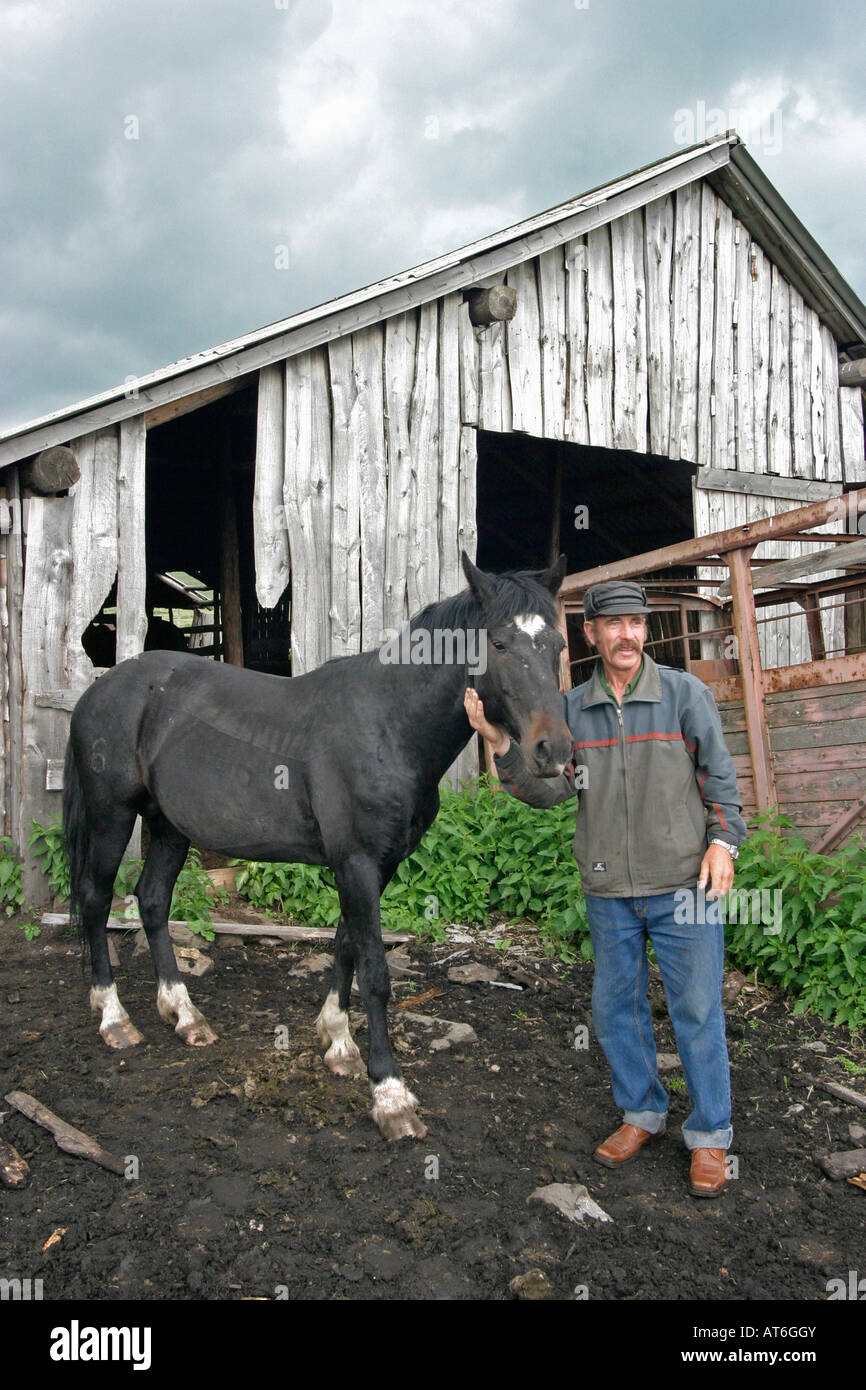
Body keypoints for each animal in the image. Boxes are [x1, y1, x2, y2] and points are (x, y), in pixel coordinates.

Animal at [63, 552, 573, 1140]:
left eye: (557, 644)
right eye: (500, 644)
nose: (553, 751)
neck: (389, 724)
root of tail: (98, 692)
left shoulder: (376, 866)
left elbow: (346, 945)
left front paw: (339, 1043)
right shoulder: (357, 864)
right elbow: (375, 972)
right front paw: (389, 1094)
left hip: (169, 826)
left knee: (150, 902)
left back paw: (185, 1015)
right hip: (111, 816)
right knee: (97, 901)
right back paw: (114, 1018)